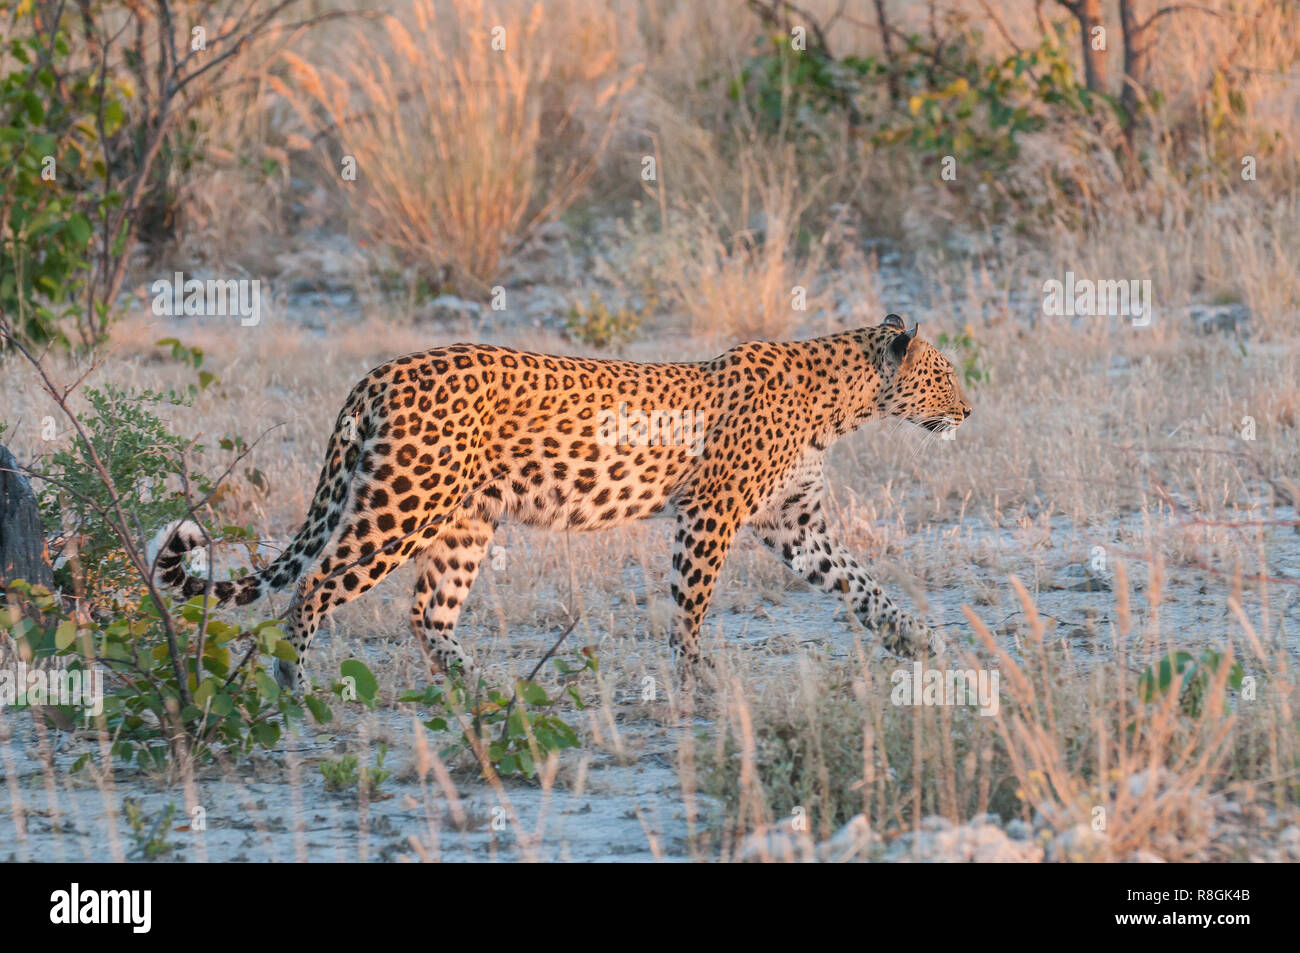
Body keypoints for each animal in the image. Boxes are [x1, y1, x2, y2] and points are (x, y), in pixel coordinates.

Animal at [149, 314, 972, 691]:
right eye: (945, 376)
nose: (969, 410)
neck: (844, 403)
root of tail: (378, 373)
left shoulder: (795, 524)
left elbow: (862, 586)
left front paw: (918, 643)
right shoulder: (711, 512)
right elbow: (692, 603)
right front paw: (696, 679)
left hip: (465, 518)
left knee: (428, 613)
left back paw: (484, 692)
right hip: (401, 504)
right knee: (316, 587)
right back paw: (297, 686)